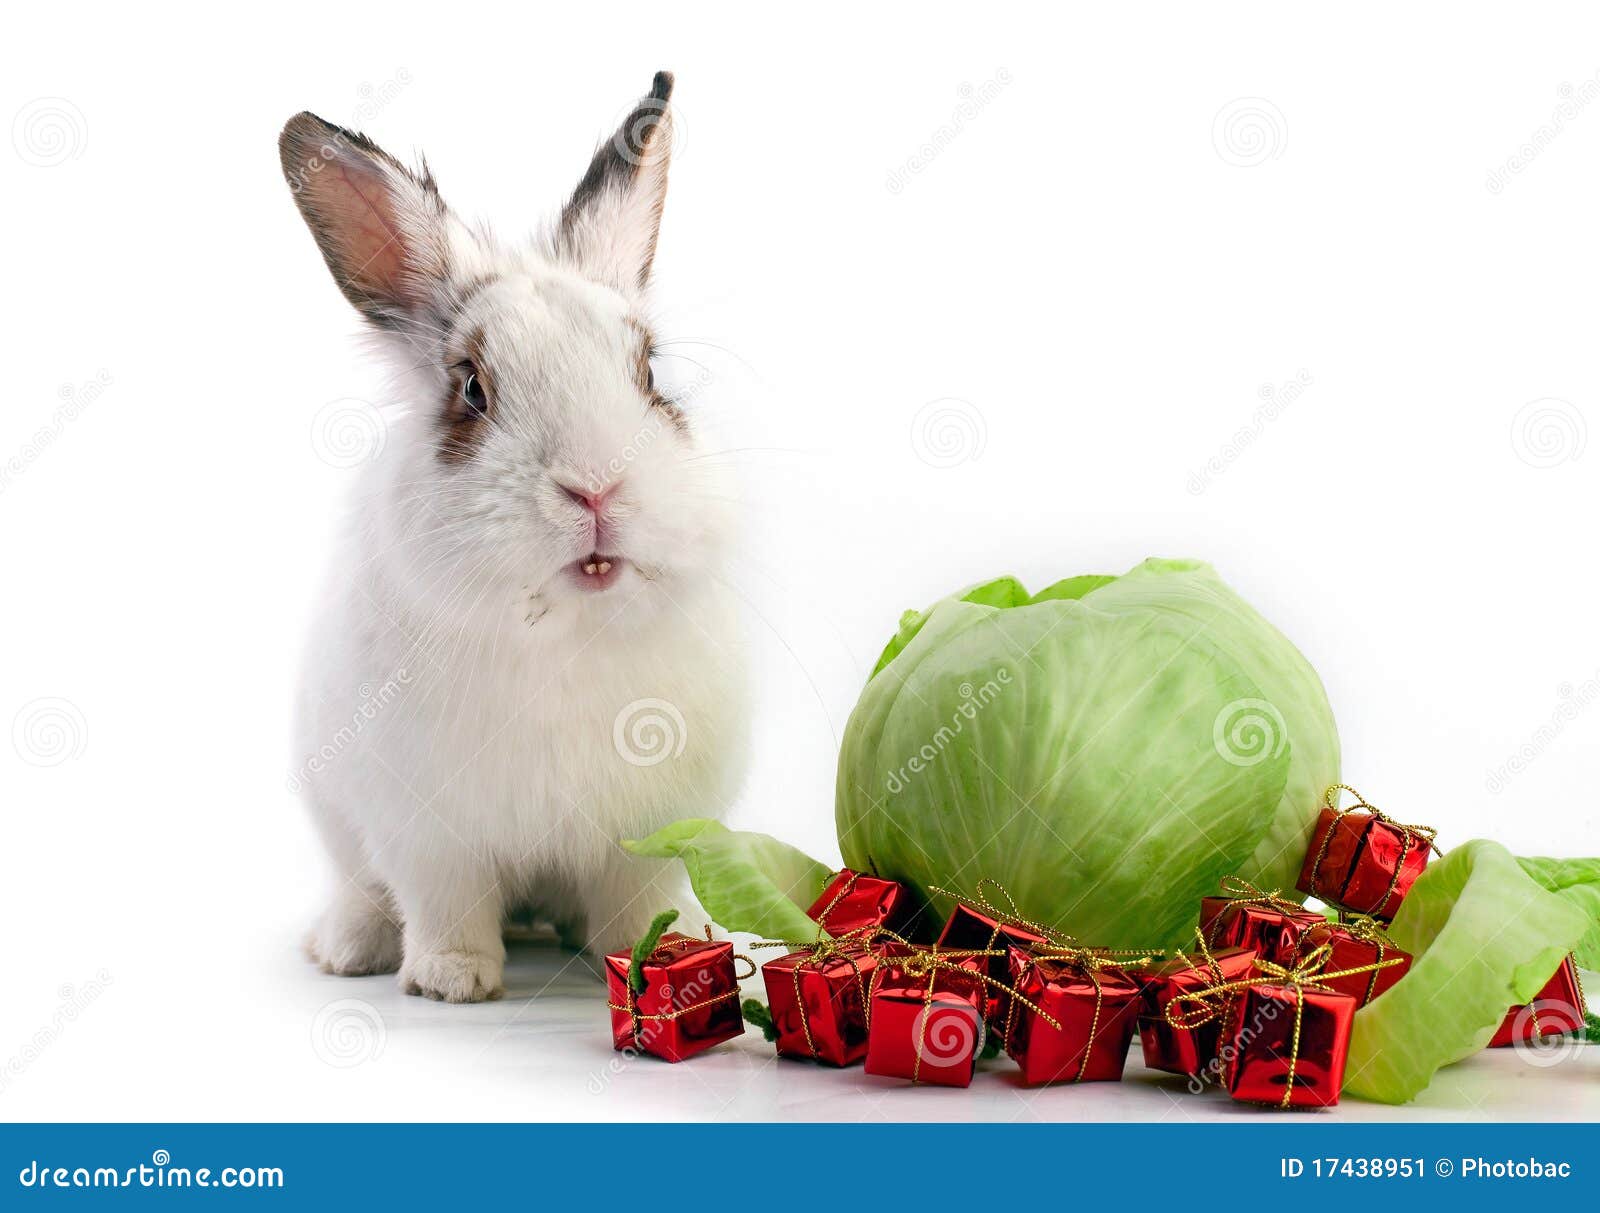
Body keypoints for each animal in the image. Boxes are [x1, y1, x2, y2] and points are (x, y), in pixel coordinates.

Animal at [279, 72, 748, 1002]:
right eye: (472, 389)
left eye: (650, 375)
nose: (596, 484)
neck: (565, 630)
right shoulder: (428, 836)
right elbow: (445, 902)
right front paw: (451, 979)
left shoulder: (644, 833)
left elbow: (636, 898)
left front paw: (652, 948)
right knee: (361, 889)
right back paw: (350, 947)